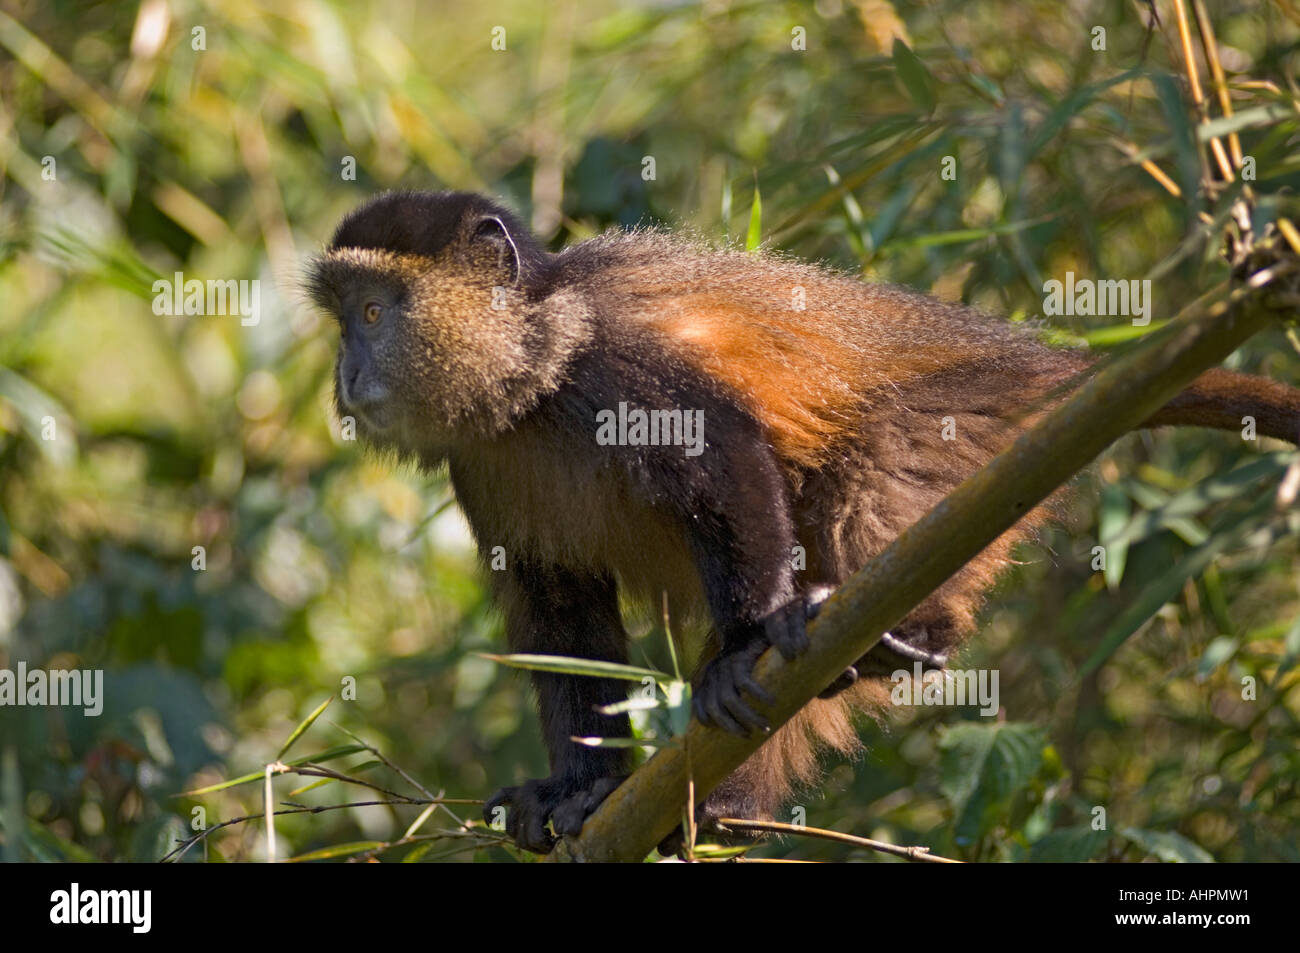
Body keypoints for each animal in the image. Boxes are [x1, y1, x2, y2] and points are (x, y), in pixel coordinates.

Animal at [306, 189, 1300, 855]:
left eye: (373, 312)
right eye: (343, 320)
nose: (346, 378)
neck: (531, 369)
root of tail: (1046, 372)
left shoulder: (615, 367)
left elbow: (725, 456)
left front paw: (746, 646)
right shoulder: (479, 464)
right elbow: (559, 611)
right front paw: (580, 788)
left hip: (955, 440)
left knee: (862, 492)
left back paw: (886, 648)